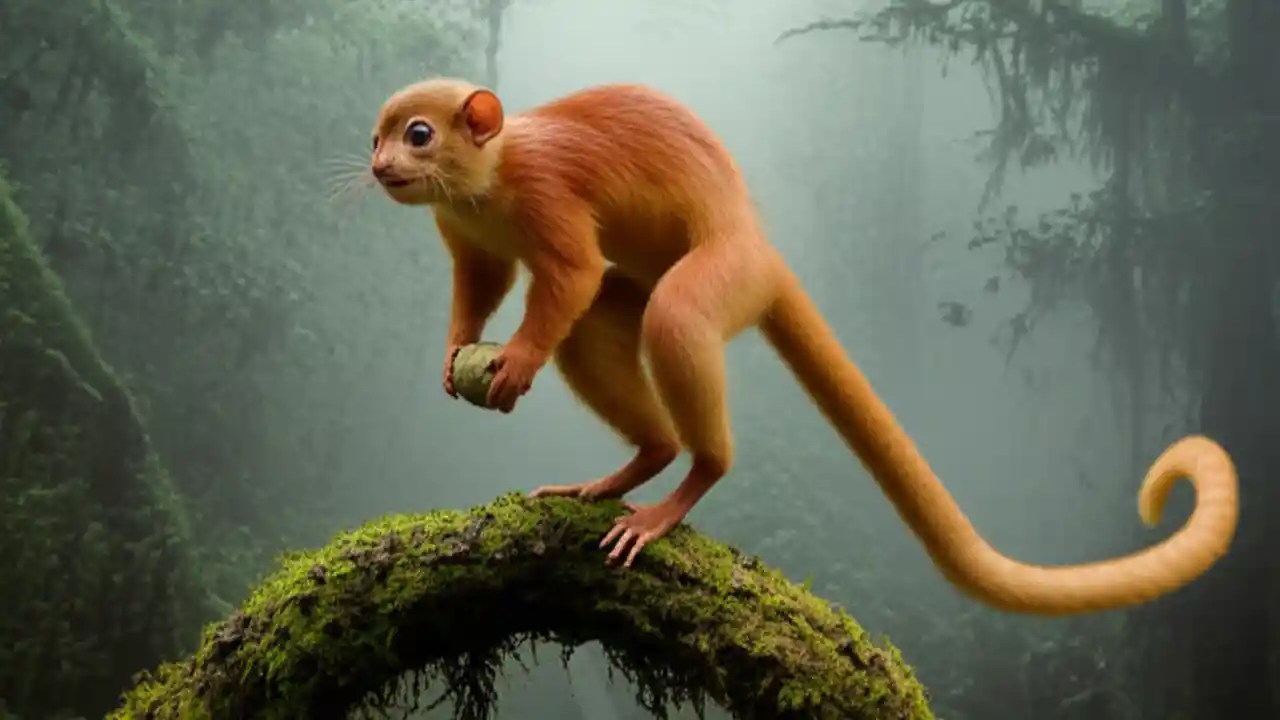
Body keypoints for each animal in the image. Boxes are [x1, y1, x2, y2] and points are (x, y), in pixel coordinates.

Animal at [368, 77, 1238, 615]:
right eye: (375, 137)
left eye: (419, 134)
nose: (377, 168)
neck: (492, 177)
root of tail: (764, 247)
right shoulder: (468, 232)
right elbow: (482, 282)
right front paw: (457, 351)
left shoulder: (547, 196)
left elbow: (571, 273)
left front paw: (515, 359)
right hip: (666, 278)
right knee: (597, 333)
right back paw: (632, 468)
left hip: (728, 274)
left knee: (674, 317)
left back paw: (685, 487)